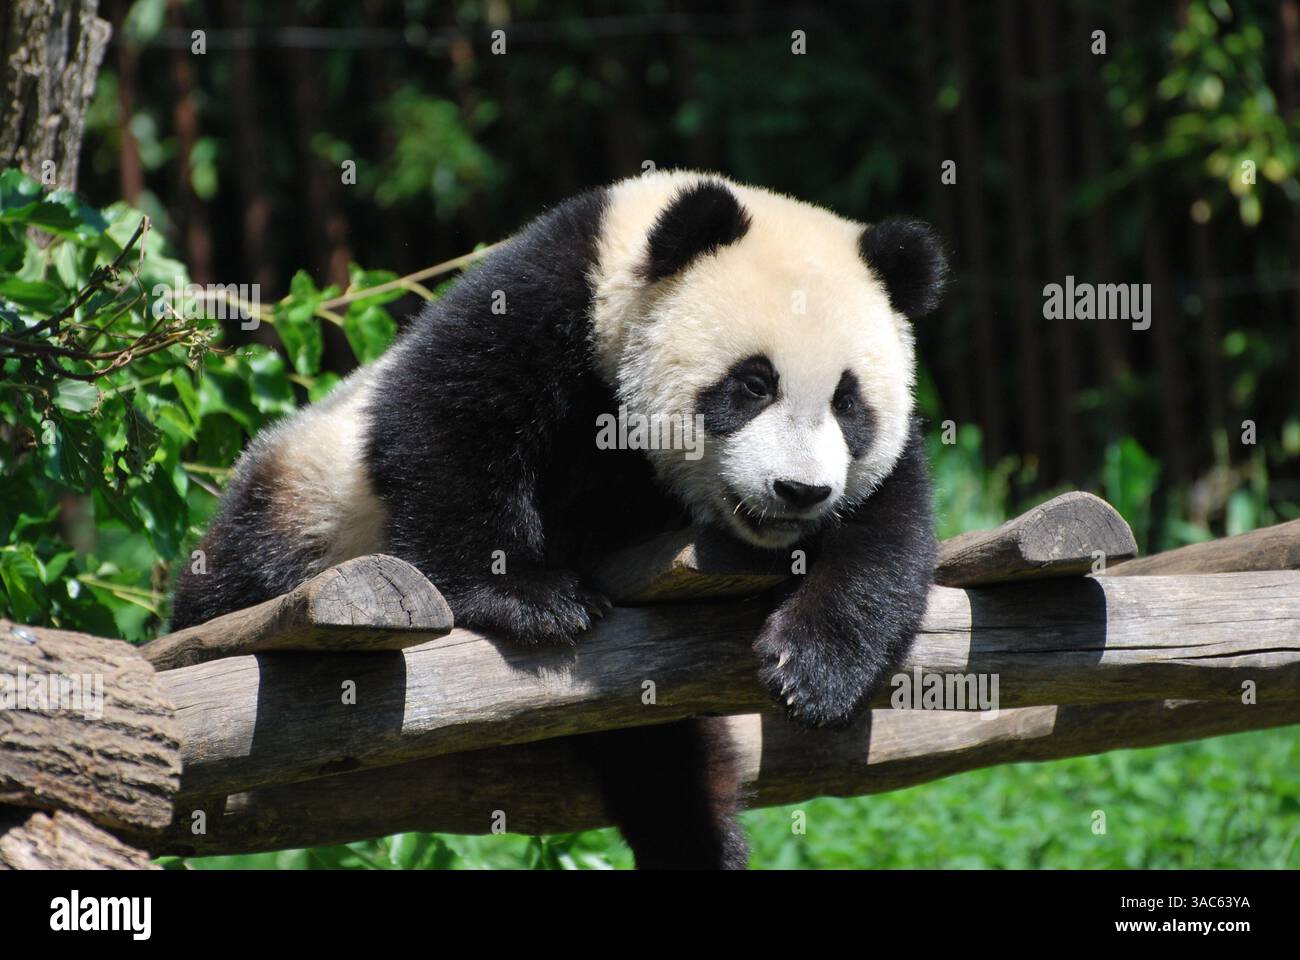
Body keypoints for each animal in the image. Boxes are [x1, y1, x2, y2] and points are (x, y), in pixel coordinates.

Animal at [169, 170, 947, 869]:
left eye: (848, 402)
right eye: (754, 383)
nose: (799, 491)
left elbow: (889, 523)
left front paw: (813, 668)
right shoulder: (547, 298)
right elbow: (447, 423)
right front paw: (534, 600)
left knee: (666, 758)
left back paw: (700, 844)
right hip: (306, 497)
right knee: (242, 570)